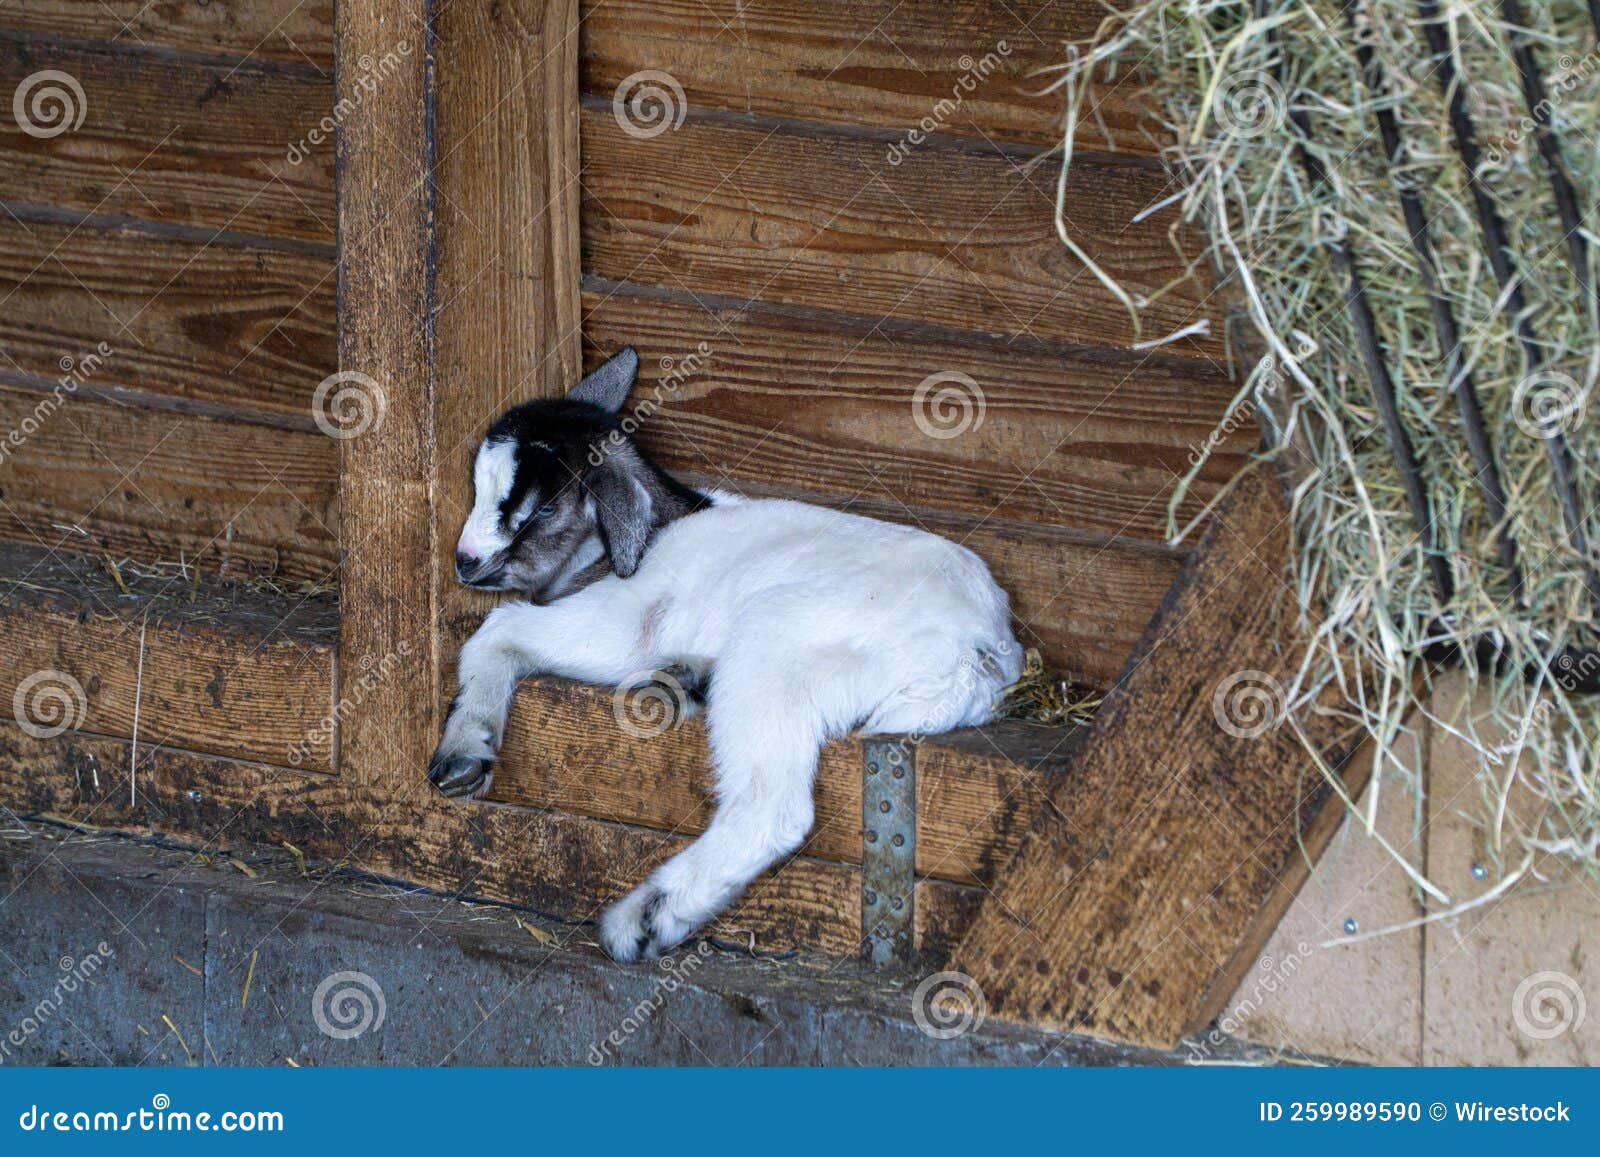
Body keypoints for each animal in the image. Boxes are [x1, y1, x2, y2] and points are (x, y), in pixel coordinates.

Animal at [429, 348, 1023, 961]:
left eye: (543, 508)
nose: (465, 562)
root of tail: (978, 651)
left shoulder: (625, 623)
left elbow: (499, 627)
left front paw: (464, 751)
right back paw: (685, 679)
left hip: (774, 644)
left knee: (773, 809)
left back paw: (644, 919)